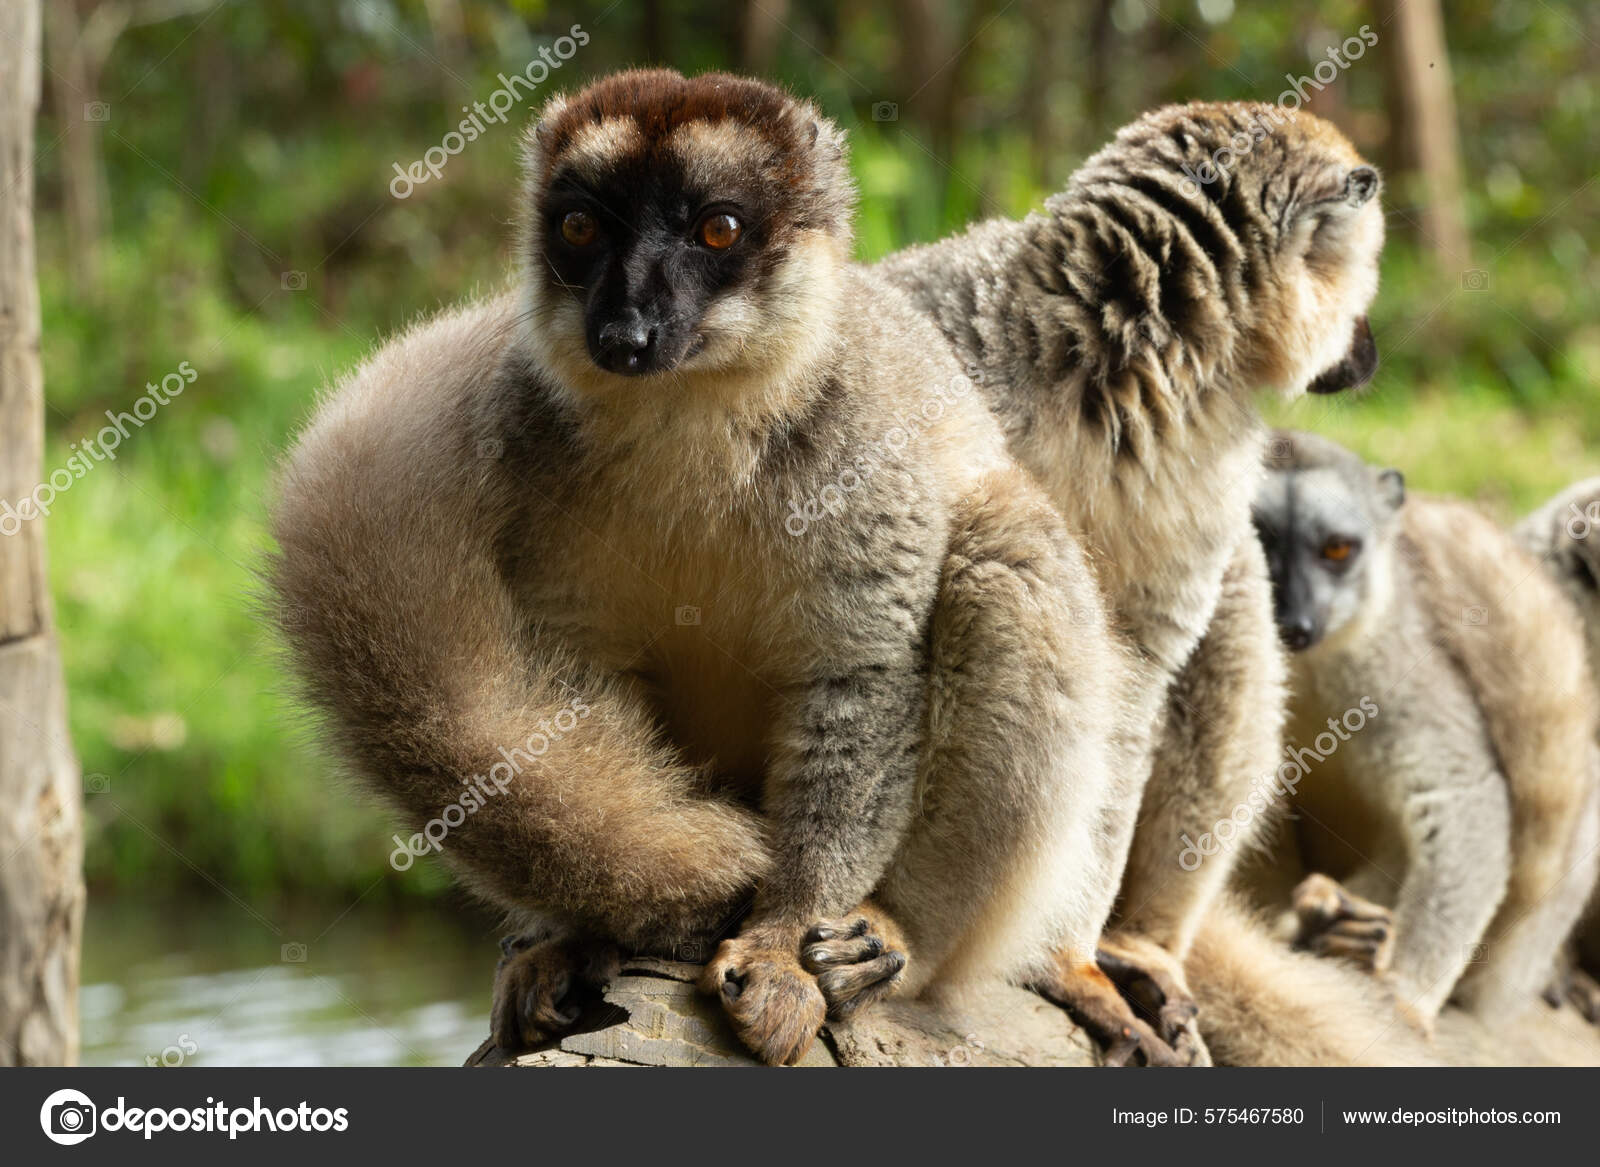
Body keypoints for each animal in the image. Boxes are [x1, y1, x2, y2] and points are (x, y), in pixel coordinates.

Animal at [267, 70, 1143, 1067]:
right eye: (581, 229)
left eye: (717, 230)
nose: (624, 330)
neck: (688, 410)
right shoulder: (521, 437)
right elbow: (574, 700)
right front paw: (581, 931)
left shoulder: (865, 445)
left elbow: (863, 673)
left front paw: (785, 940)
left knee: (1009, 545)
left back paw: (896, 936)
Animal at [876, 102, 1385, 1059]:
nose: (1369, 348)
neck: (1120, 367)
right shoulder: (935, 340)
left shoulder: (1209, 478)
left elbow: (1133, 683)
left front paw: (1068, 963)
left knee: (1230, 613)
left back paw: (1134, 943)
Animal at [1249, 430, 1600, 1033]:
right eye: (1260, 537)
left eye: (1337, 550)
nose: (1294, 622)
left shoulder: (1393, 662)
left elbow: (1462, 795)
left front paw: (1407, 994)